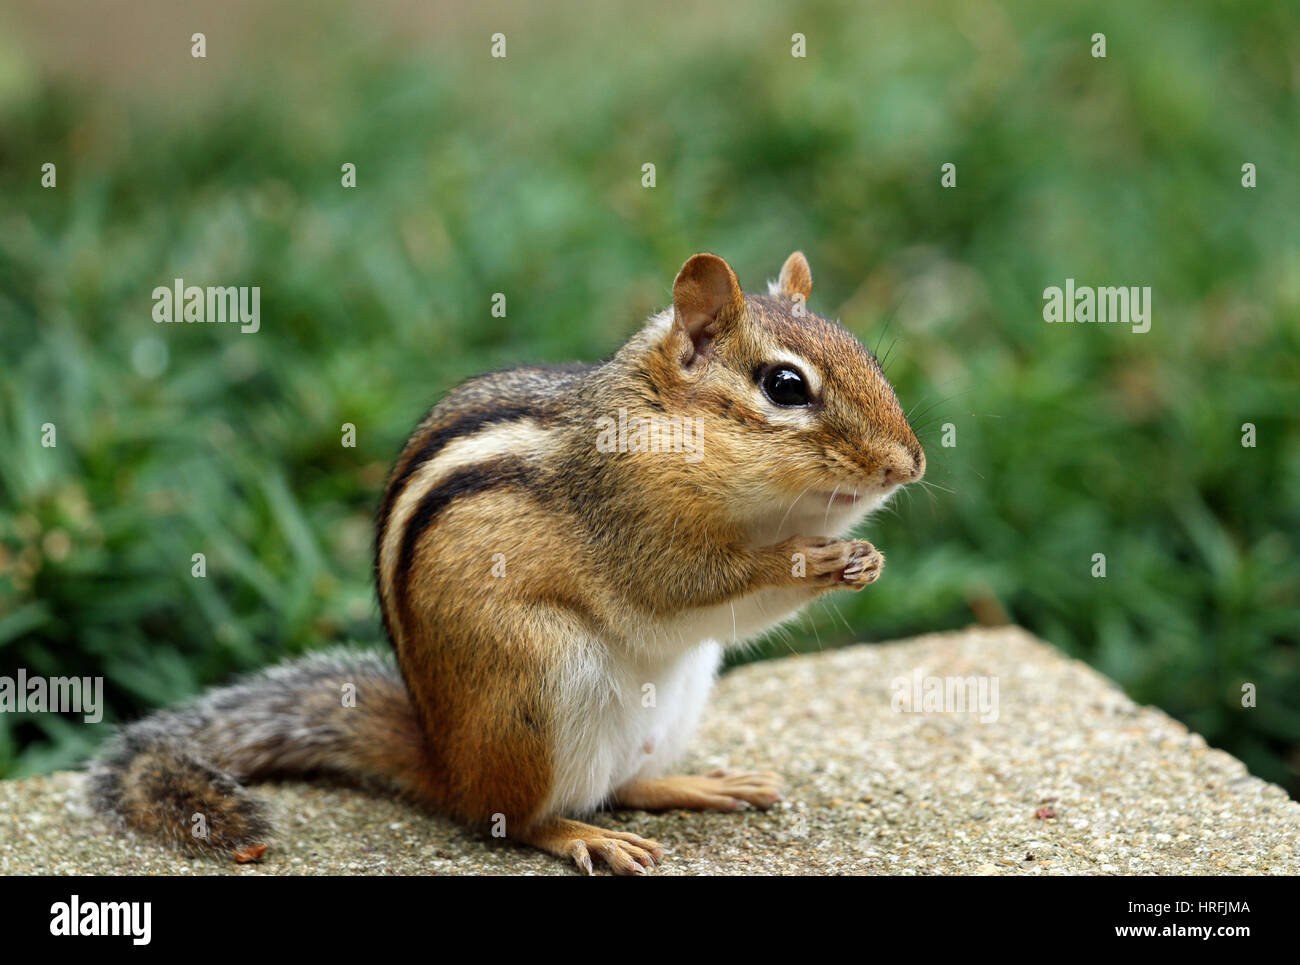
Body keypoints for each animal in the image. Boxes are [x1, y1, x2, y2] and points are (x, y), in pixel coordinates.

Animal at [88, 251, 925, 874]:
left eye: (866, 357)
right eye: (785, 386)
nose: (909, 465)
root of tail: (446, 762)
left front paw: (866, 556)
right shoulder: (638, 528)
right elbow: (694, 585)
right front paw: (810, 560)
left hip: (680, 692)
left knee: (624, 781)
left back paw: (692, 783)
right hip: (541, 682)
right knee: (516, 818)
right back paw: (581, 835)